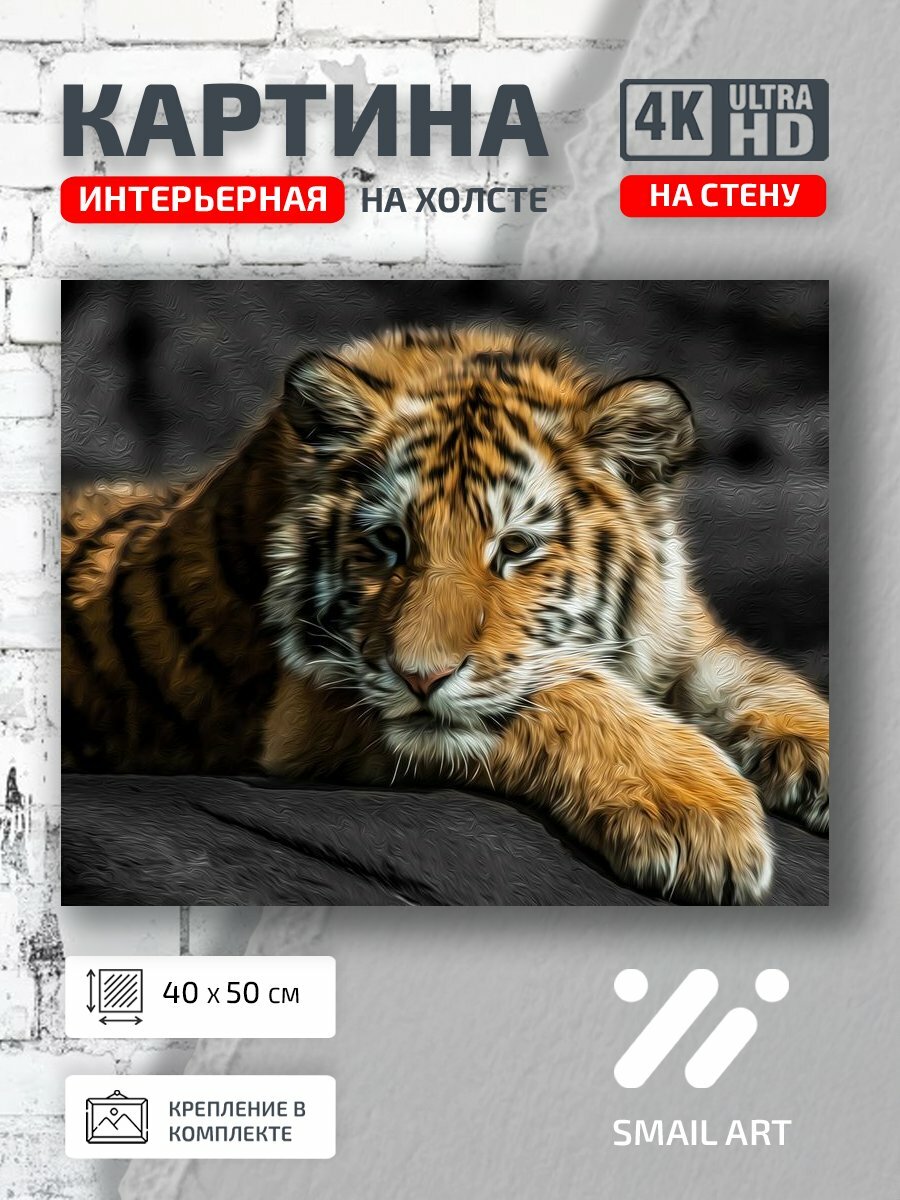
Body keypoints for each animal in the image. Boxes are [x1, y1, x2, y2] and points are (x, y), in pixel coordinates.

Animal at [62, 325, 829, 904]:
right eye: (389, 541)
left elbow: (752, 677)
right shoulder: (317, 703)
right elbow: (562, 693)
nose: (419, 677)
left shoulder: (680, 635)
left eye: (514, 548)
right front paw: (695, 811)